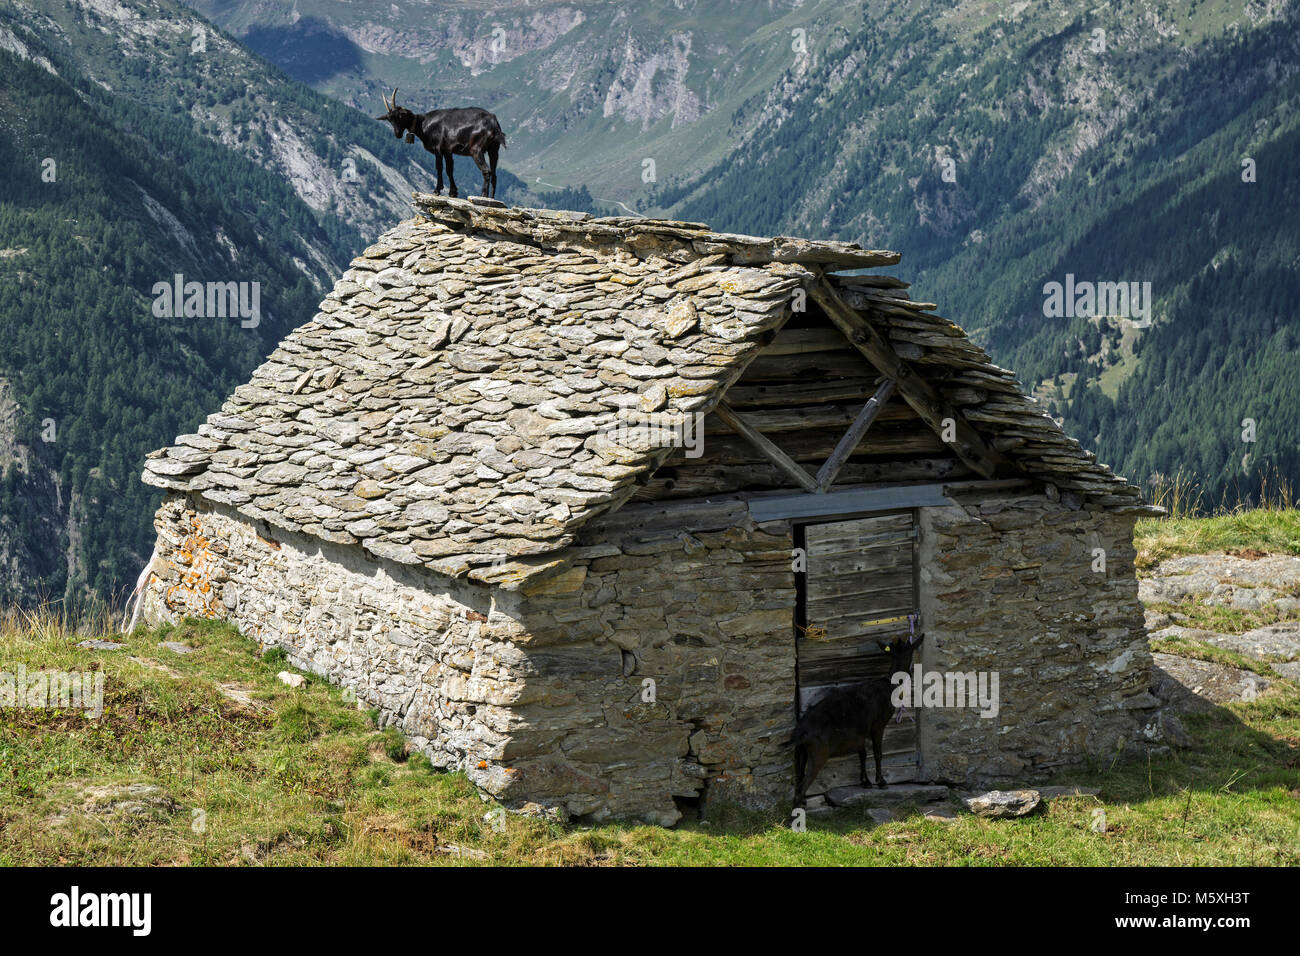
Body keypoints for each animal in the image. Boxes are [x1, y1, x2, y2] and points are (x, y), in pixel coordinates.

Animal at [375, 87, 506, 199]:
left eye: (401, 116)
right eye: (389, 119)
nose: (397, 134)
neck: (422, 124)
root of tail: (493, 122)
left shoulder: (437, 148)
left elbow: (439, 167)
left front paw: (437, 190)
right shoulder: (447, 151)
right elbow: (449, 169)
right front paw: (453, 192)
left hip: (476, 149)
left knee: (487, 170)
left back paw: (483, 195)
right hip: (494, 150)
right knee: (494, 173)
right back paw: (492, 198)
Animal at [792, 633, 924, 805]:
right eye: (911, 651)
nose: (912, 671)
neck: (890, 686)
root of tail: (800, 733)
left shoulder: (860, 733)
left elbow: (862, 753)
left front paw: (865, 782)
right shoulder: (878, 725)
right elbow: (877, 752)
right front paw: (881, 781)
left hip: (802, 753)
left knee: (798, 780)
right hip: (818, 753)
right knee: (802, 786)